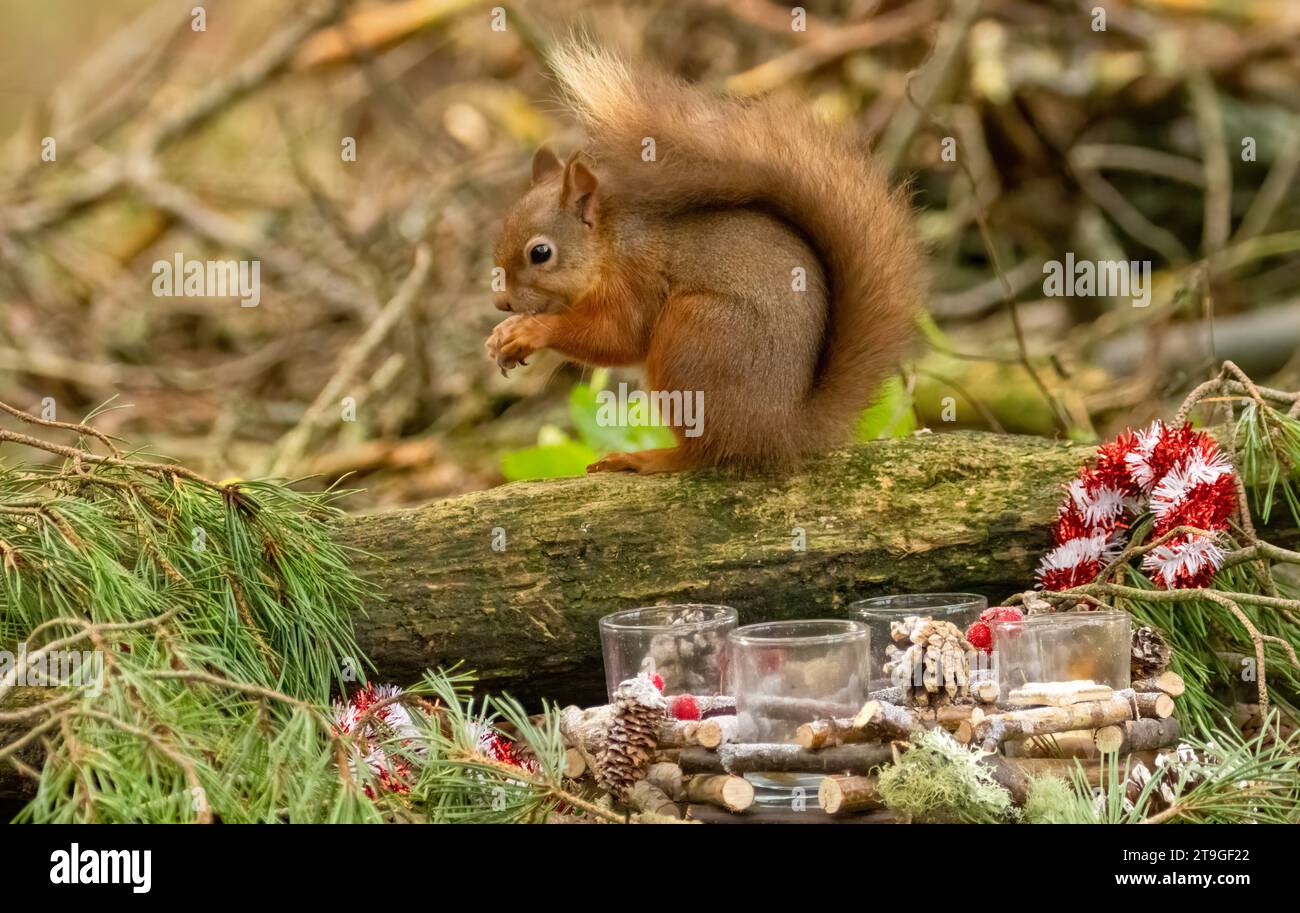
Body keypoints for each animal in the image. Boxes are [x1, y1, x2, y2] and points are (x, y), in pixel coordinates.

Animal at [486, 42, 922, 474]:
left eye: (540, 253)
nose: (501, 302)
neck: (610, 245)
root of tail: (781, 431)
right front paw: (503, 335)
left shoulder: (637, 278)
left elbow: (618, 336)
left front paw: (530, 331)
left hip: (695, 335)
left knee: (706, 451)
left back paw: (648, 458)